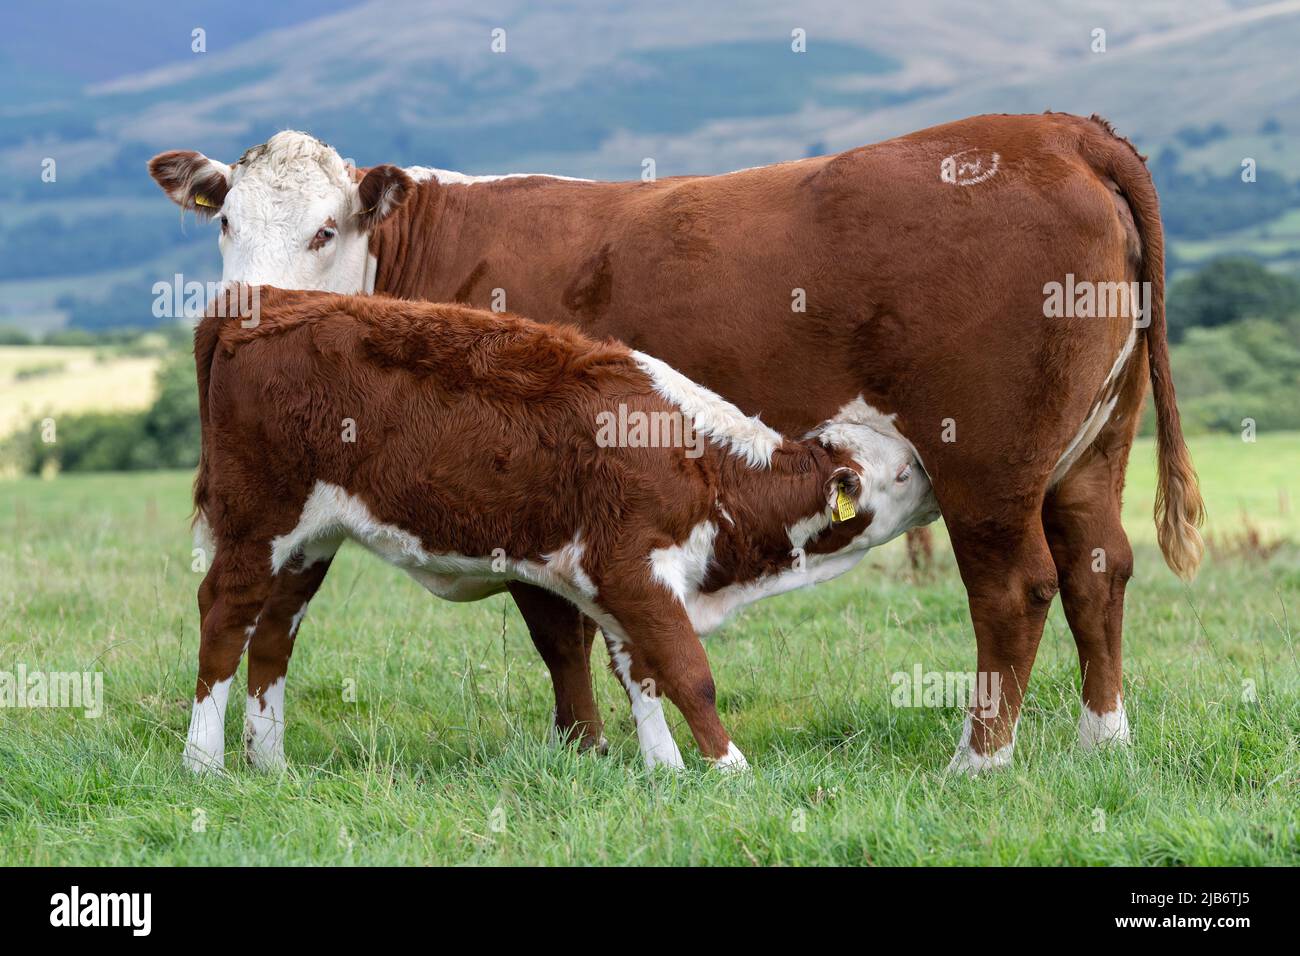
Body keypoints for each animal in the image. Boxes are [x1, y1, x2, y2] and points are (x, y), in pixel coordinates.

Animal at [185, 283, 935, 770]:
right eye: (901, 473)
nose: (934, 475)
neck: (702, 465)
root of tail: (267, 298)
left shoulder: (615, 584)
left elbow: (640, 672)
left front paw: (665, 770)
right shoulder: (634, 566)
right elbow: (688, 671)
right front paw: (731, 770)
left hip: (309, 541)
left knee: (274, 634)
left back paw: (270, 762)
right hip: (257, 521)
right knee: (224, 619)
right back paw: (204, 762)